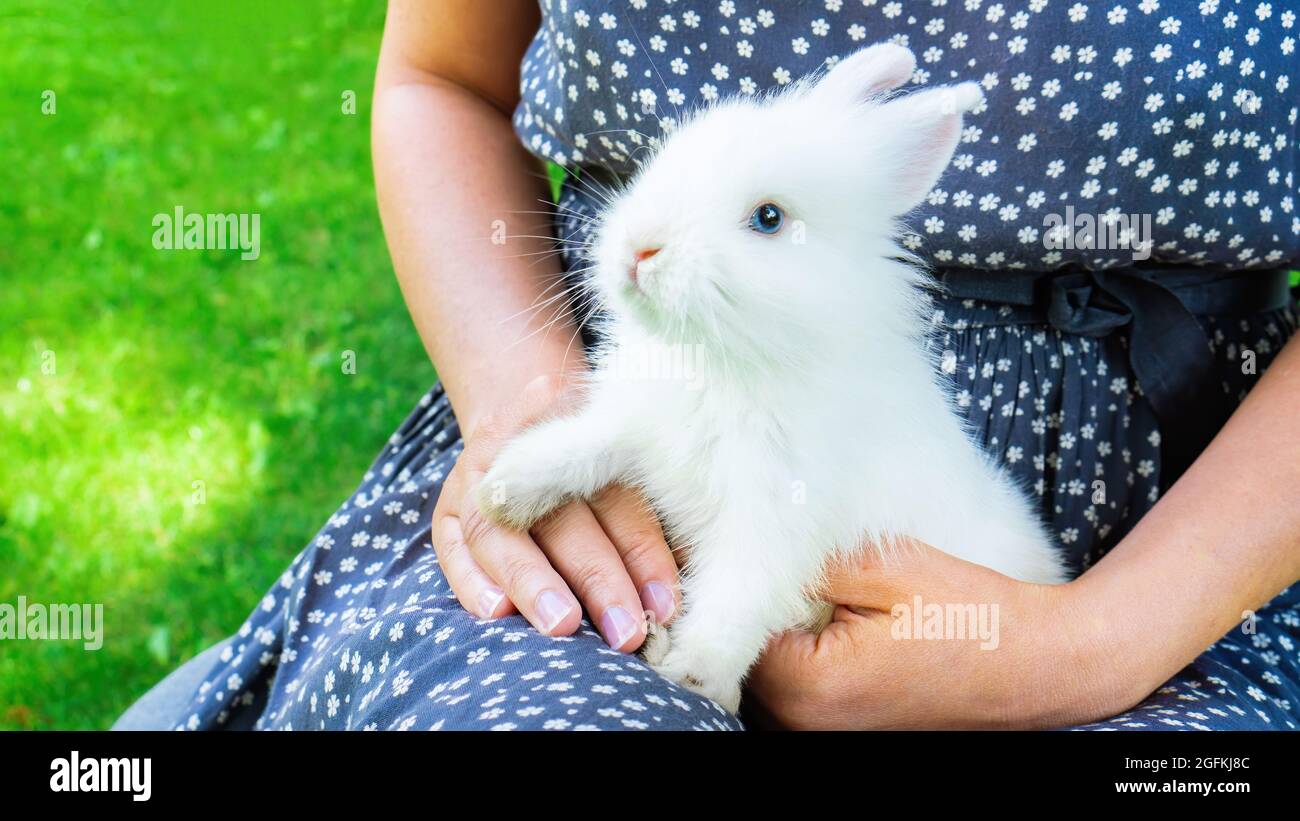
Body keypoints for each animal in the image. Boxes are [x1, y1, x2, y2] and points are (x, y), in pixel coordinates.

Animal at [477, 43, 1069, 712]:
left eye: (768, 218)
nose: (639, 249)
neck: (724, 358)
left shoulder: (774, 517)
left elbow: (738, 598)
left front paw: (693, 676)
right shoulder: (642, 427)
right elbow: (587, 445)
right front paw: (505, 492)